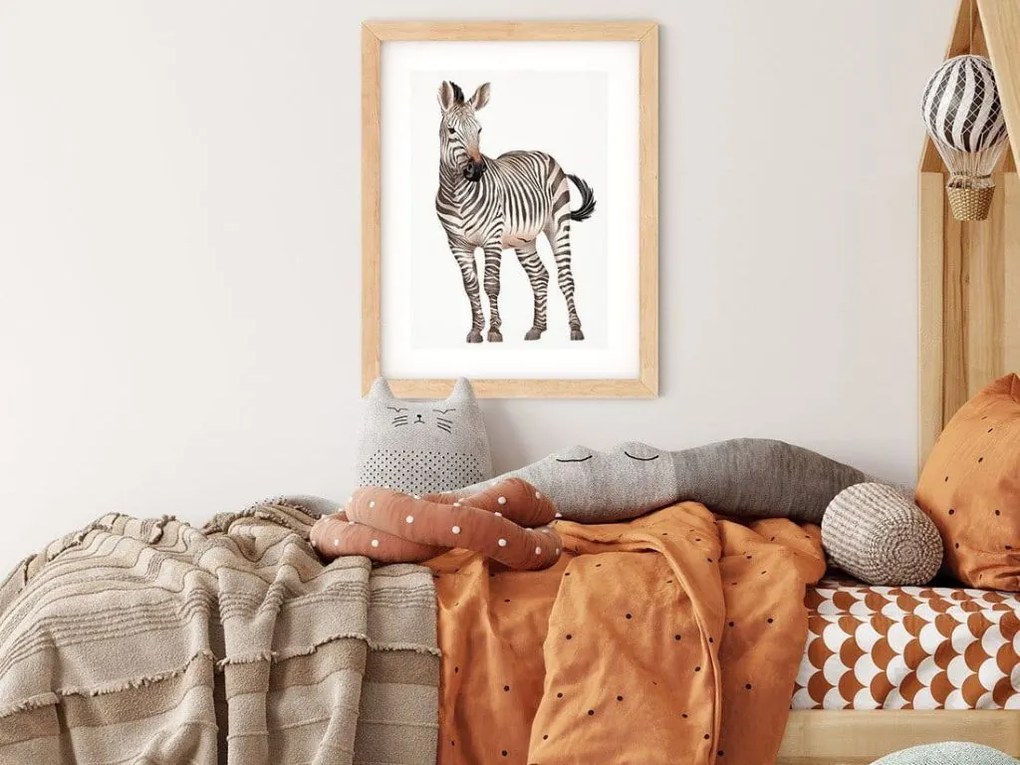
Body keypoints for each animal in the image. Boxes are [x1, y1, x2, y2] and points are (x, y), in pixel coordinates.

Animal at [434, 80, 596, 344]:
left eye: (479, 131)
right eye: (451, 130)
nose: (476, 169)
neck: (457, 193)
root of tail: (538, 151)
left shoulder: (491, 239)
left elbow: (491, 284)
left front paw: (494, 331)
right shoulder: (457, 244)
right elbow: (471, 287)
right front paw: (476, 330)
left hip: (558, 224)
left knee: (565, 277)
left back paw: (575, 329)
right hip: (525, 240)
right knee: (540, 276)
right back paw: (537, 328)